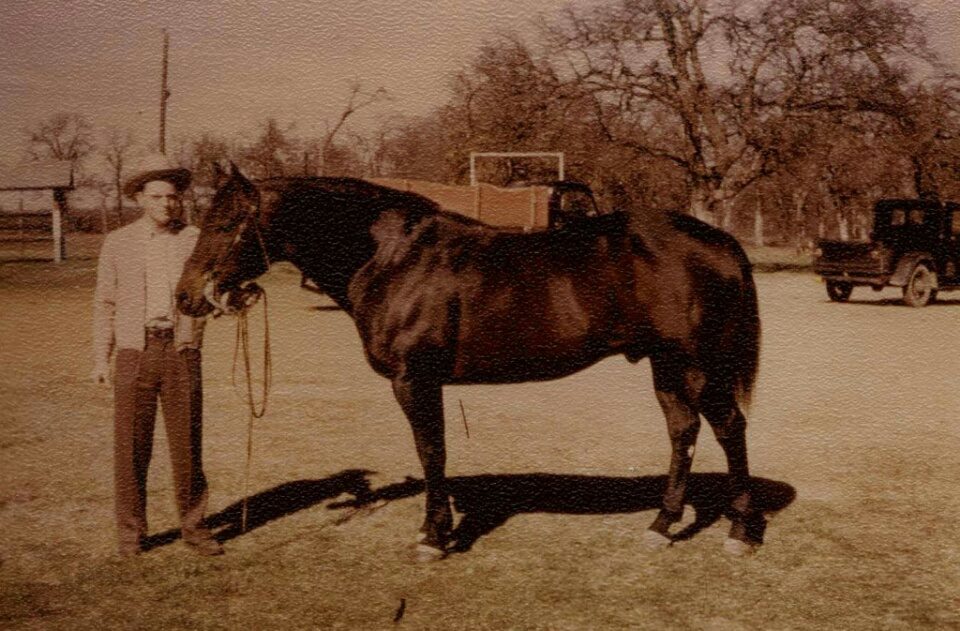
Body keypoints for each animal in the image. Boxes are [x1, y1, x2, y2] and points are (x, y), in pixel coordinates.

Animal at [176, 165, 765, 559]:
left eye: (226, 223)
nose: (185, 297)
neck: (393, 259)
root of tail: (722, 242)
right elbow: (434, 451)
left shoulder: (414, 380)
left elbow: (431, 451)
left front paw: (433, 538)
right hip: (667, 367)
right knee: (683, 432)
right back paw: (661, 526)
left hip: (699, 366)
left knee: (729, 428)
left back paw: (741, 533)